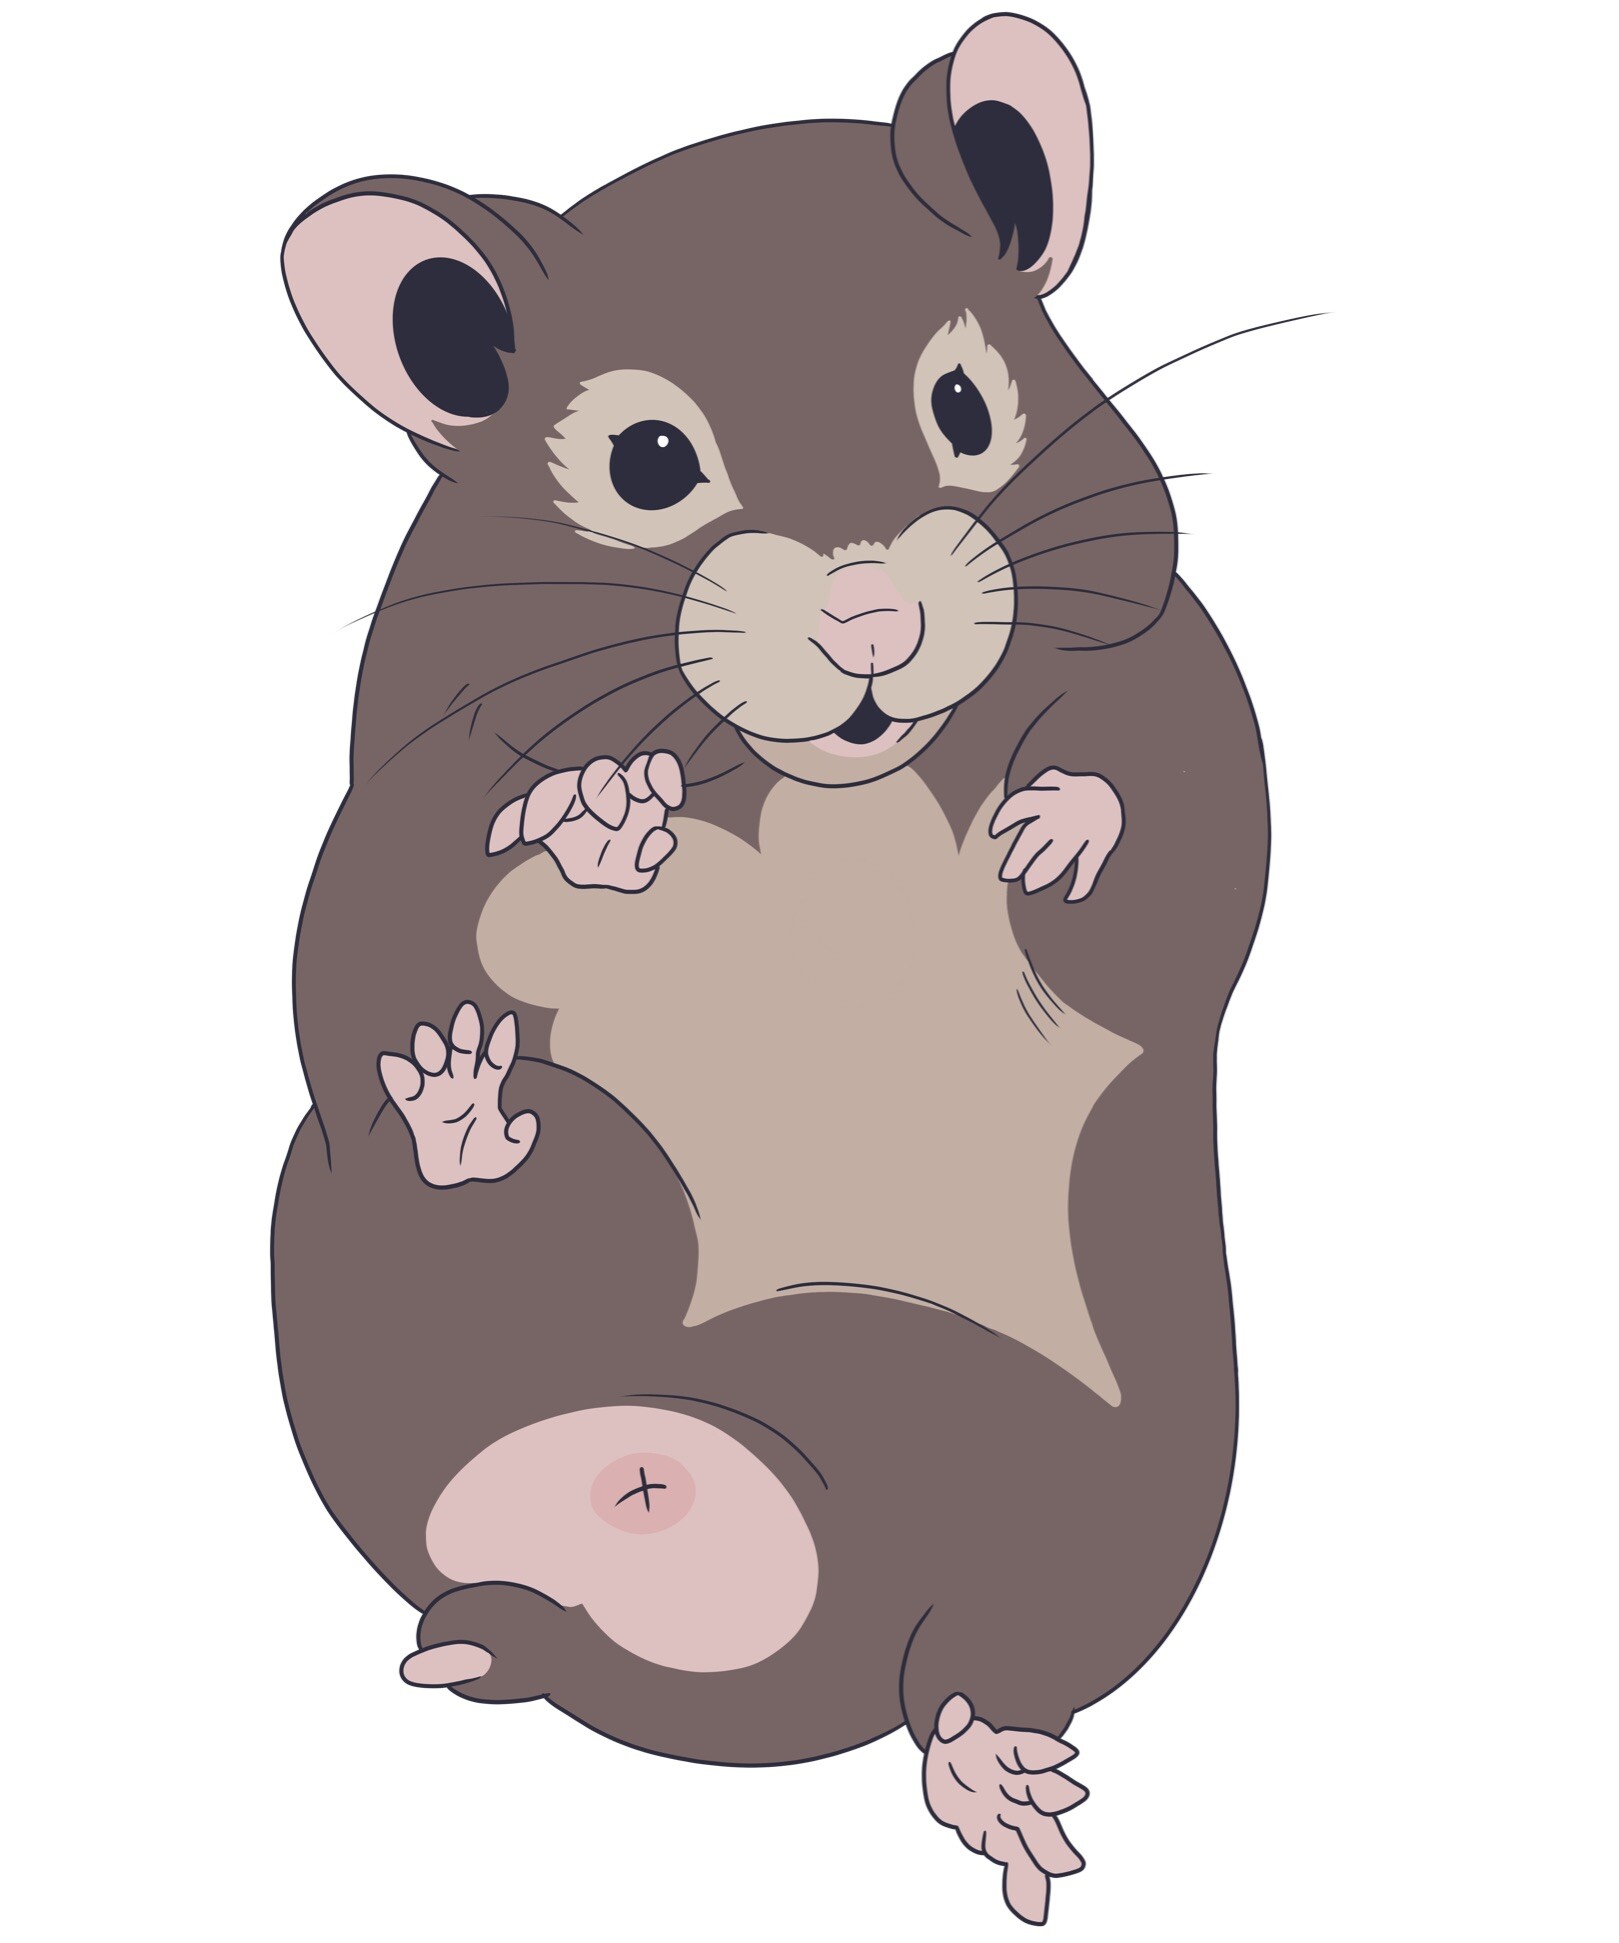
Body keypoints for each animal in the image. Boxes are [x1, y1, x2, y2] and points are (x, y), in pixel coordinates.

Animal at [272, 12, 1268, 1926]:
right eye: (650, 460)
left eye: (962, 409)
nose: (871, 617)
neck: (824, 785)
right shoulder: (414, 780)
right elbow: (391, 902)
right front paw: (599, 824)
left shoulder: (1180, 682)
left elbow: (1175, 824)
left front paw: (1049, 833)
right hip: (397, 1257)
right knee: (458, 1207)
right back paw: (462, 1110)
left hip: (1091, 1499)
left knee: (983, 1648)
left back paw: (994, 1782)